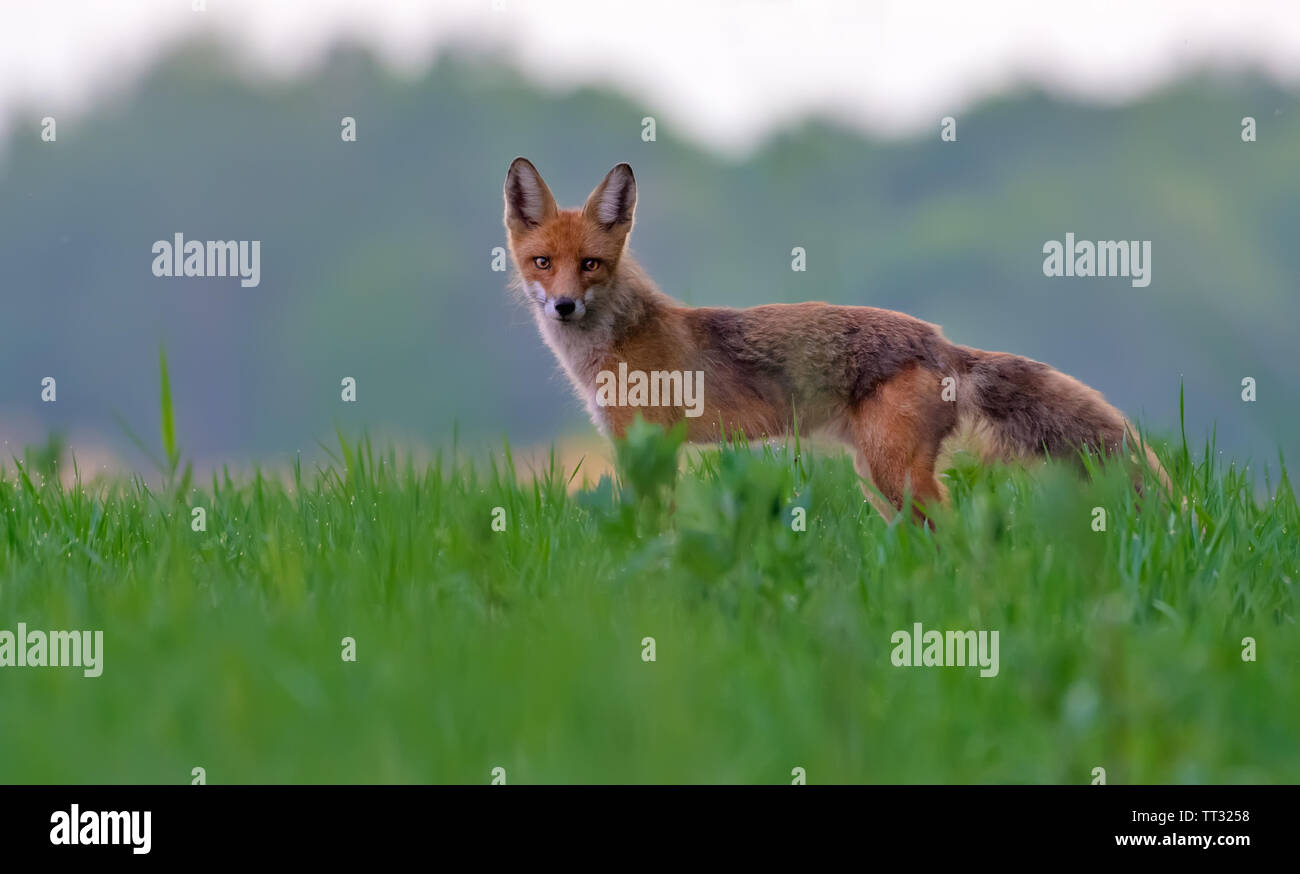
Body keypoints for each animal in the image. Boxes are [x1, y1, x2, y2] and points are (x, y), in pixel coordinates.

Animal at [502, 157, 1166, 523]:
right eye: (542, 263)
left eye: (590, 265)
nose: (563, 305)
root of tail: (939, 340)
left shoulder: (650, 445)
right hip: (877, 481)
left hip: (894, 475)